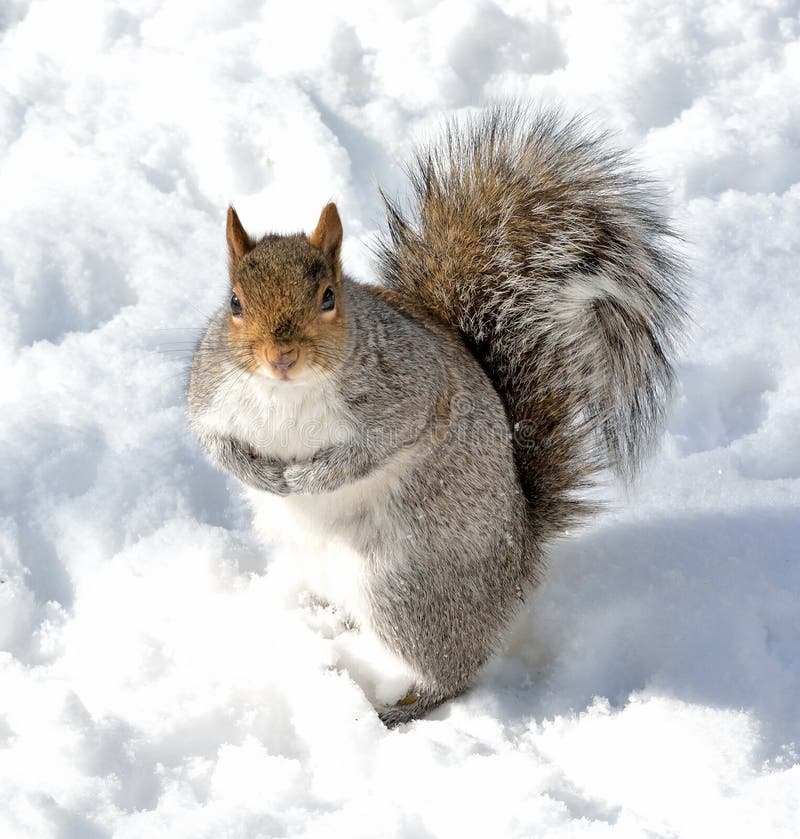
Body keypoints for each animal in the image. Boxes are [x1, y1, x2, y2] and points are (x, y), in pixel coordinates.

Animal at [188, 105, 686, 726]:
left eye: (328, 297)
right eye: (234, 302)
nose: (281, 357)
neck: (289, 393)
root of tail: (520, 565)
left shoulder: (413, 393)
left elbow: (370, 450)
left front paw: (307, 478)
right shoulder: (211, 397)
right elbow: (214, 443)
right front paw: (258, 474)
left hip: (404, 590)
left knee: (452, 673)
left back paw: (398, 709)